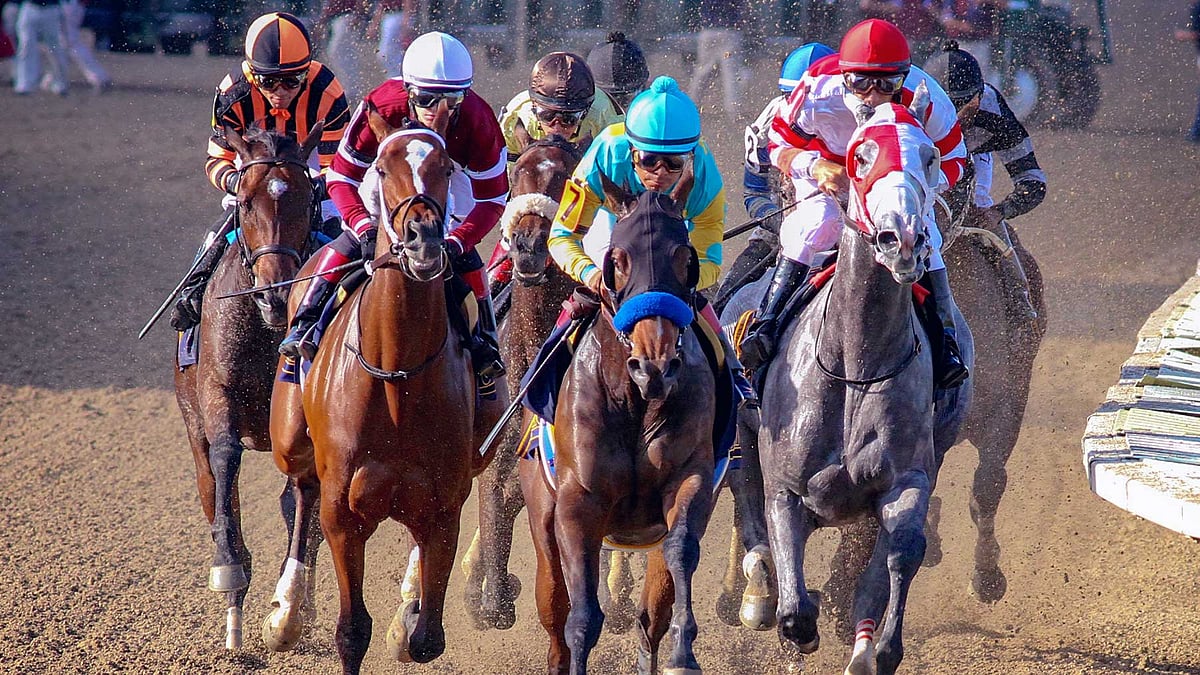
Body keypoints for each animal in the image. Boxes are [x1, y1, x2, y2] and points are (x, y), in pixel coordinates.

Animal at [173, 124, 322, 650]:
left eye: (306, 198)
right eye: (245, 199)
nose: (275, 295)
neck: (264, 330)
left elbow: (304, 501)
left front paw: (289, 608)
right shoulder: (219, 398)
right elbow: (226, 463)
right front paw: (230, 571)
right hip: (193, 425)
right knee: (215, 488)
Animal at [262, 110, 505, 673]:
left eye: (445, 166)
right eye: (380, 164)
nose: (423, 240)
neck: (398, 375)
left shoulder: (443, 507)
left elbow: (426, 639)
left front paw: (409, 616)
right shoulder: (344, 514)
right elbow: (352, 631)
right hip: (290, 440)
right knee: (301, 491)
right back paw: (287, 612)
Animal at [519, 173, 721, 674]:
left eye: (684, 258)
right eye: (619, 259)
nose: (655, 367)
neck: (633, 401)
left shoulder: (691, 478)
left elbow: (679, 550)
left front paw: (684, 652)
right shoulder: (578, 501)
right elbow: (581, 618)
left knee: (651, 614)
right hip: (540, 510)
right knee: (553, 606)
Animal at [748, 98, 974, 674]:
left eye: (928, 156)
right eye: (861, 155)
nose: (904, 239)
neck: (856, 364)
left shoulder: (907, 478)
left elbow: (902, 551)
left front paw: (879, 647)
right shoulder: (784, 488)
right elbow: (793, 608)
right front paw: (796, 626)